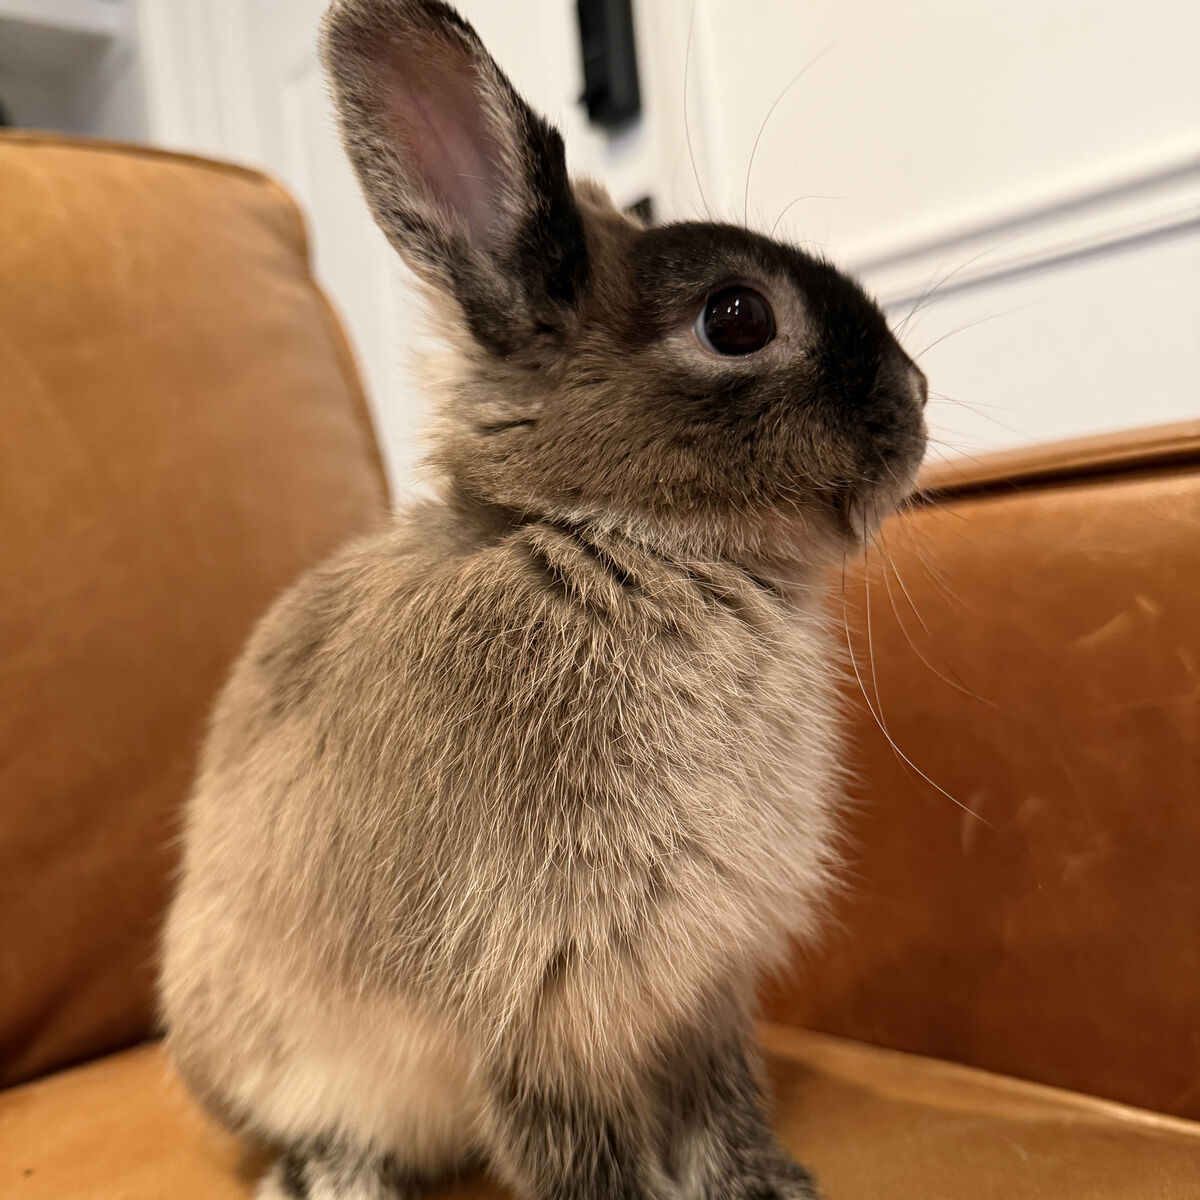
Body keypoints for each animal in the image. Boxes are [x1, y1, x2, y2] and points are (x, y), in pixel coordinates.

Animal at [158, 1, 928, 1198]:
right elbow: (577, 1147)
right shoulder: (536, 1001)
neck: (616, 540)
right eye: (738, 319)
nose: (919, 397)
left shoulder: (697, 989)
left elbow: (721, 1106)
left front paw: (763, 1184)